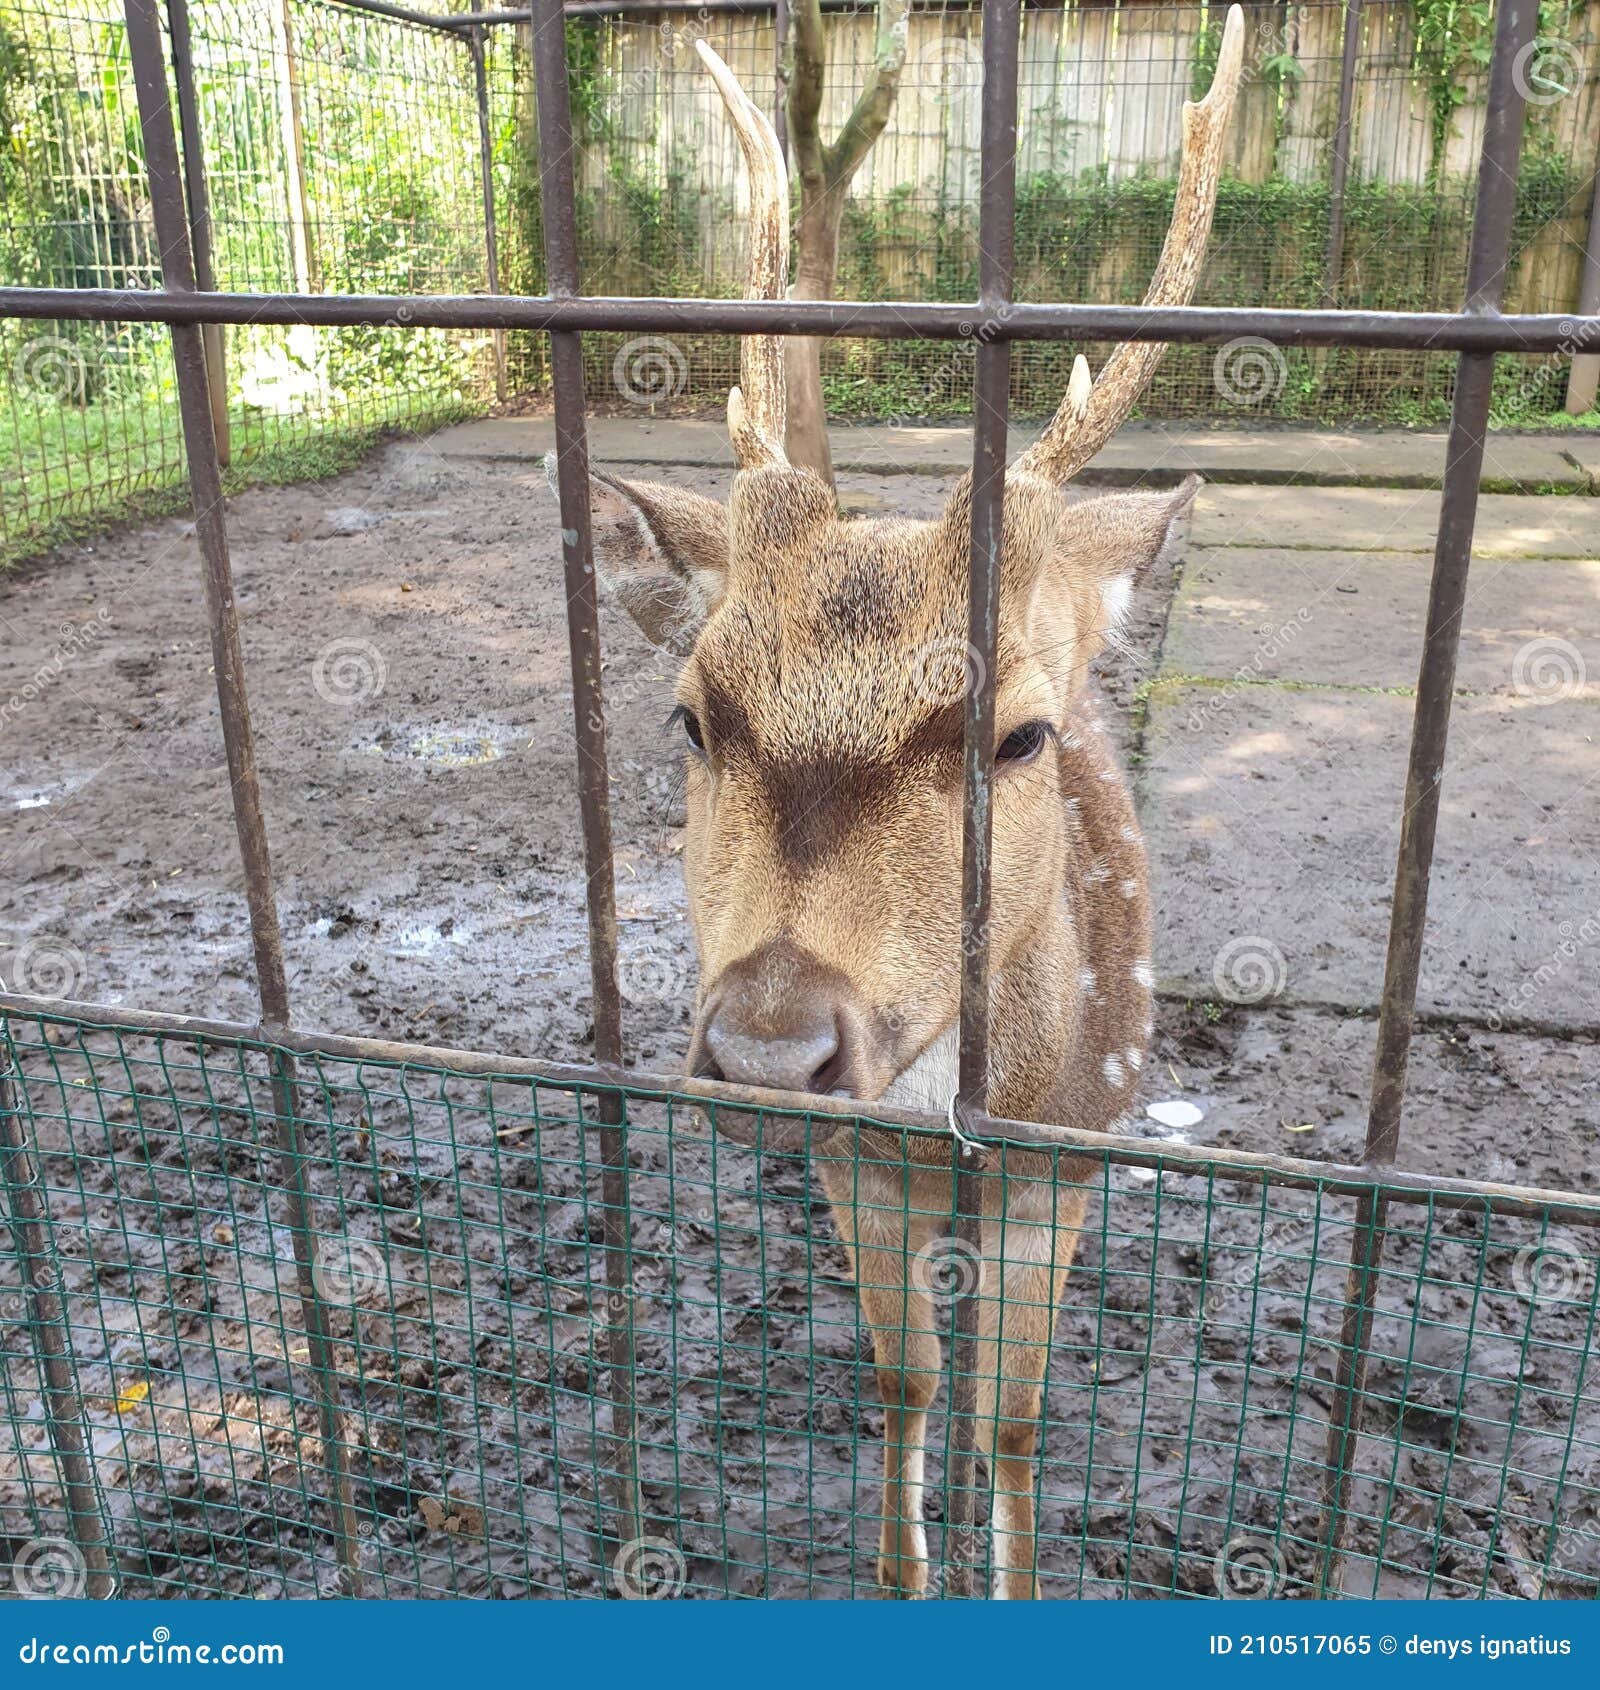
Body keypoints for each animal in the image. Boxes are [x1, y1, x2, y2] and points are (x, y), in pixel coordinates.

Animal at [551, 8, 1245, 1598]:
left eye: (1022, 735)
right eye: (692, 713)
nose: (769, 1043)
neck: (953, 1121)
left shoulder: (1060, 1169)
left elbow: (1015, 1421)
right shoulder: (858, 1169)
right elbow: (909, 1380)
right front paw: (902, 1571)